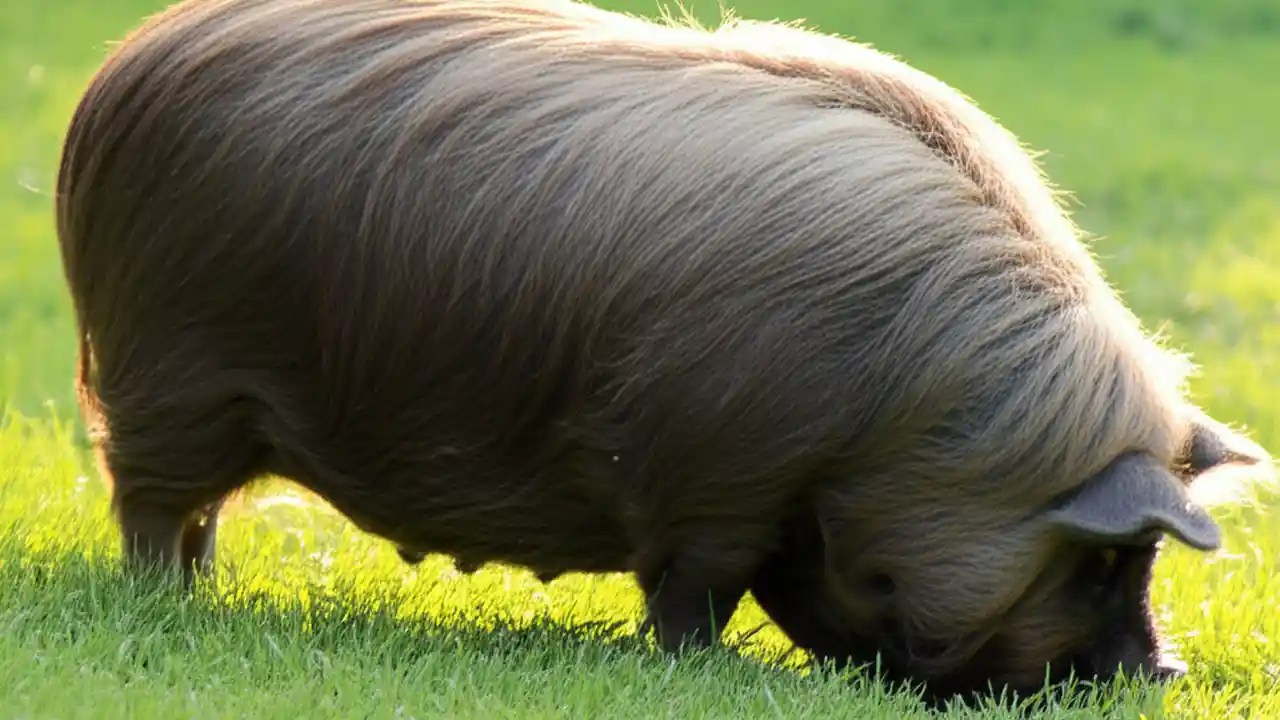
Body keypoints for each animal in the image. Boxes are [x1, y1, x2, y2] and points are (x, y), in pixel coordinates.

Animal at [54, 0, 1271, 697]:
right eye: (1105, 558)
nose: (1163, 673)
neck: (912, 430)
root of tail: (124, 71)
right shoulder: (713, 481)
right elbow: (695, 592)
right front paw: (707, 669)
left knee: (196, 516)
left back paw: (206, 594)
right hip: (171, 376)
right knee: (149, 506)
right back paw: (175, 606)